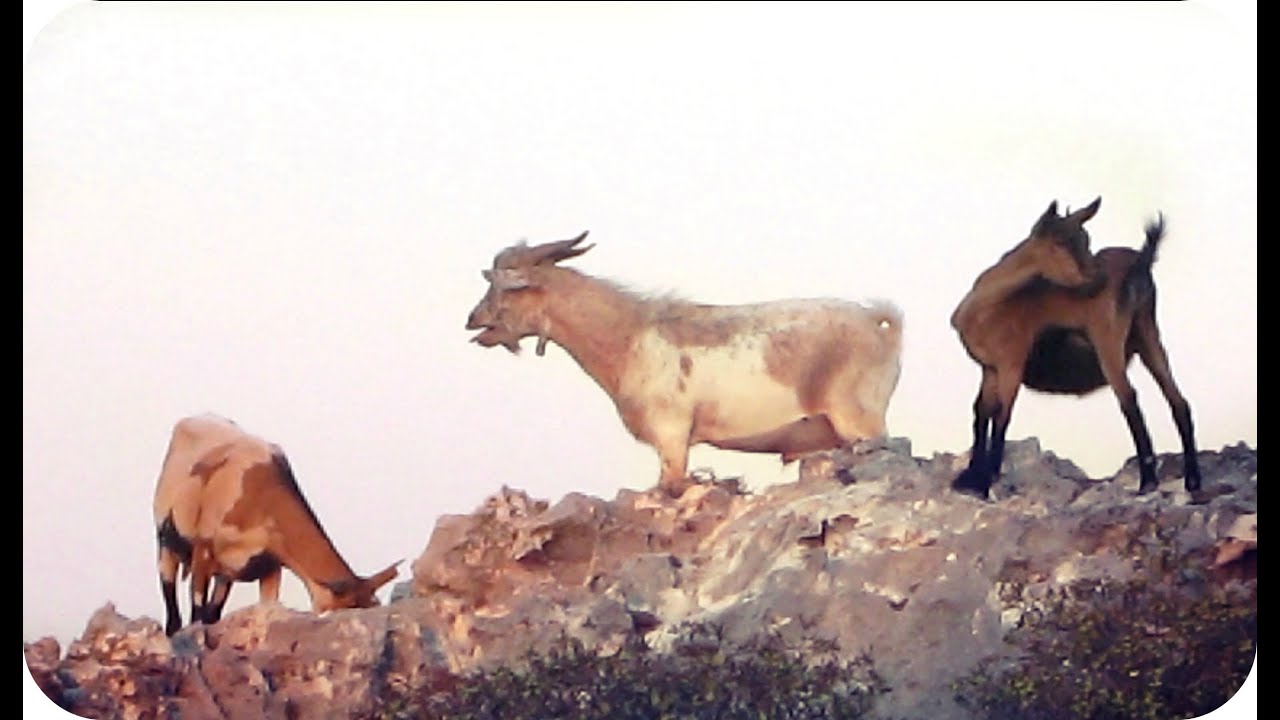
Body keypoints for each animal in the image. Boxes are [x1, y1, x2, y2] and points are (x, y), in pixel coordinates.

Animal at [465, 231, 904, 496]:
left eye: (503, 288)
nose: (473, 320)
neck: (630, 335)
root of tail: (880, 325)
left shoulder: (671, 434)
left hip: (858, 417)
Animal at [950, 198, 1201, 500]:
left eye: (1085, 239)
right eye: (1059, 242)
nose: (1097, 277)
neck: (989, 304)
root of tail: (1140, 264)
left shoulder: (1012, 362)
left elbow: (1002, 416)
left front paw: (986, 481)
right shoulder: (989, 368)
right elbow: (981, 412)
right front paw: (971, 479)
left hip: (1108, 337)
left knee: (1129, 397)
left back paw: (1148, 481)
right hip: (1147, 332)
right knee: (1177, 400)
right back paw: (1193, 481)